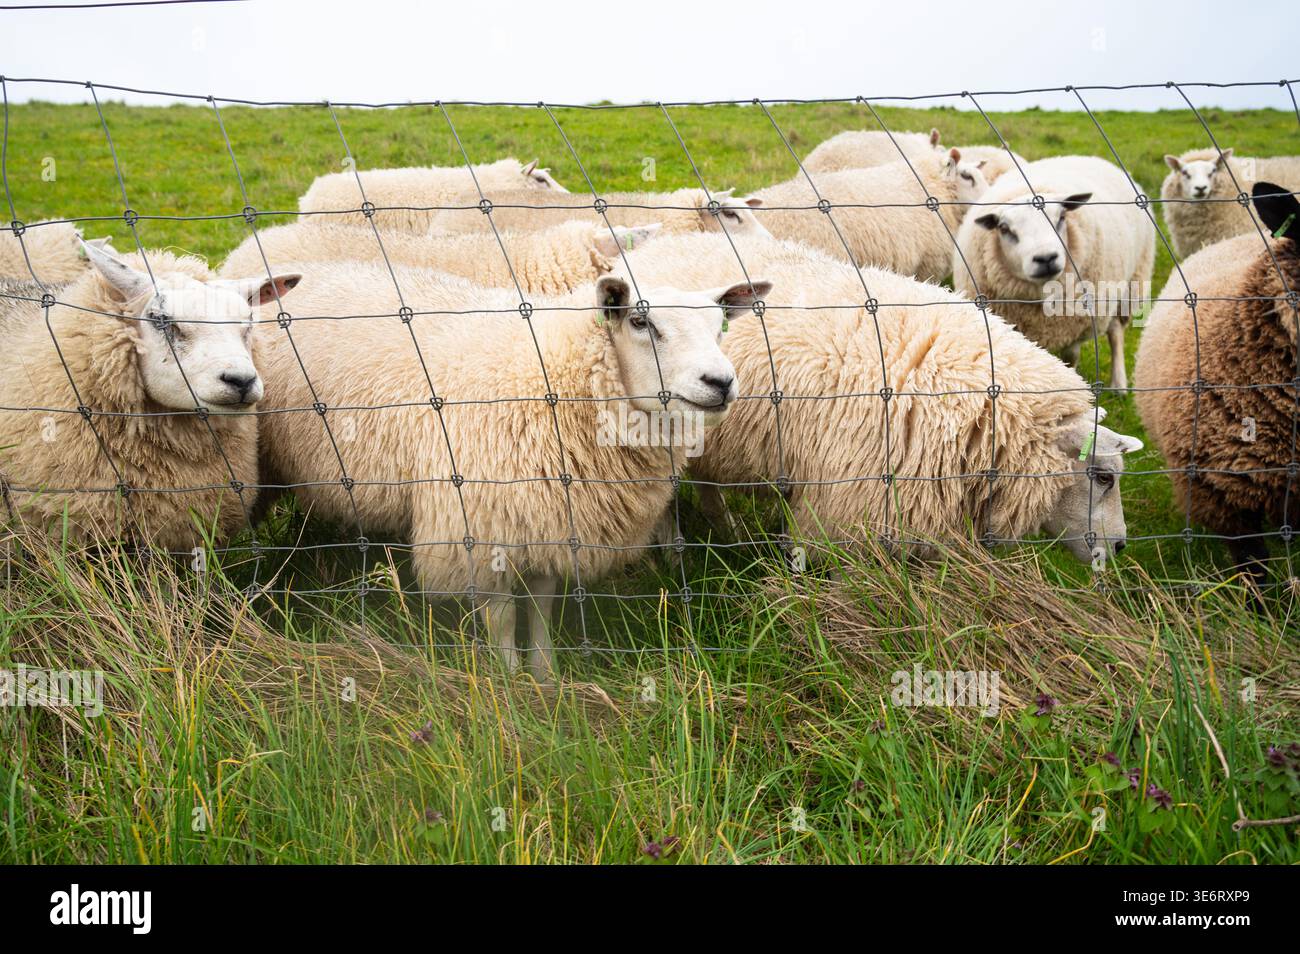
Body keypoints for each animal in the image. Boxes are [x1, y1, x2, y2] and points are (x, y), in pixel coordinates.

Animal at [253, 260, 770, 679]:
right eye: (641, 321)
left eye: (721, 324)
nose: (721, 382)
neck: (555, 377)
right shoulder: (483, 524)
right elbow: (500, 613)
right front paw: (508, 679)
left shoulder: (550, 516)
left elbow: (542, 603)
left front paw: (545, 674)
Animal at [952, 155, 1155, 391]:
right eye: (1004, 228)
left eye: (1062, 217)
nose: (1046, 258)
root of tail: (1086, 157)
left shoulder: (1076, 327)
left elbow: (1071, 358)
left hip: (1130, 284)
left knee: (1115, 332)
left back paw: (1119, 384)